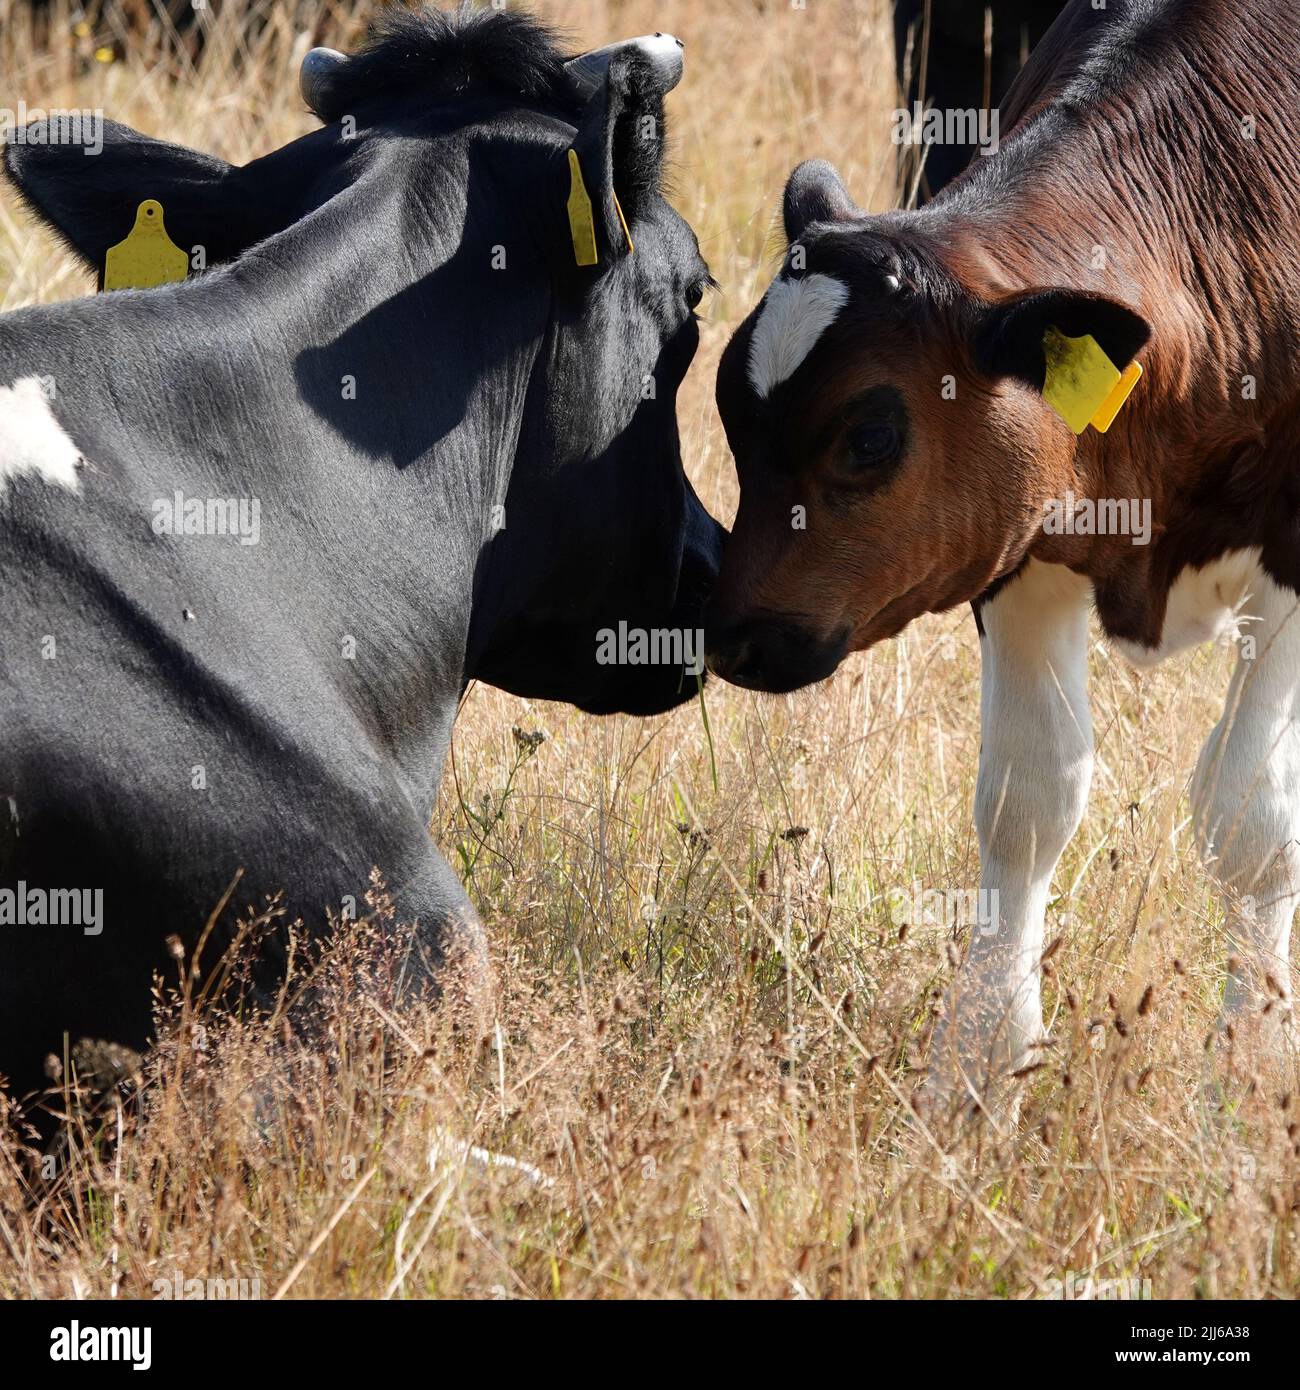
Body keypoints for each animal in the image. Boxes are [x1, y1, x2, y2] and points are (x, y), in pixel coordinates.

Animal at [706, 0, 1300, 1119]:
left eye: (869, 436)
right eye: (726, 410)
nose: (737, 634)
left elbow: (1250, 817)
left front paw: (1248, 1063)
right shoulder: (1024, 549)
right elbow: (1027, 799)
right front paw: (976, 1067)